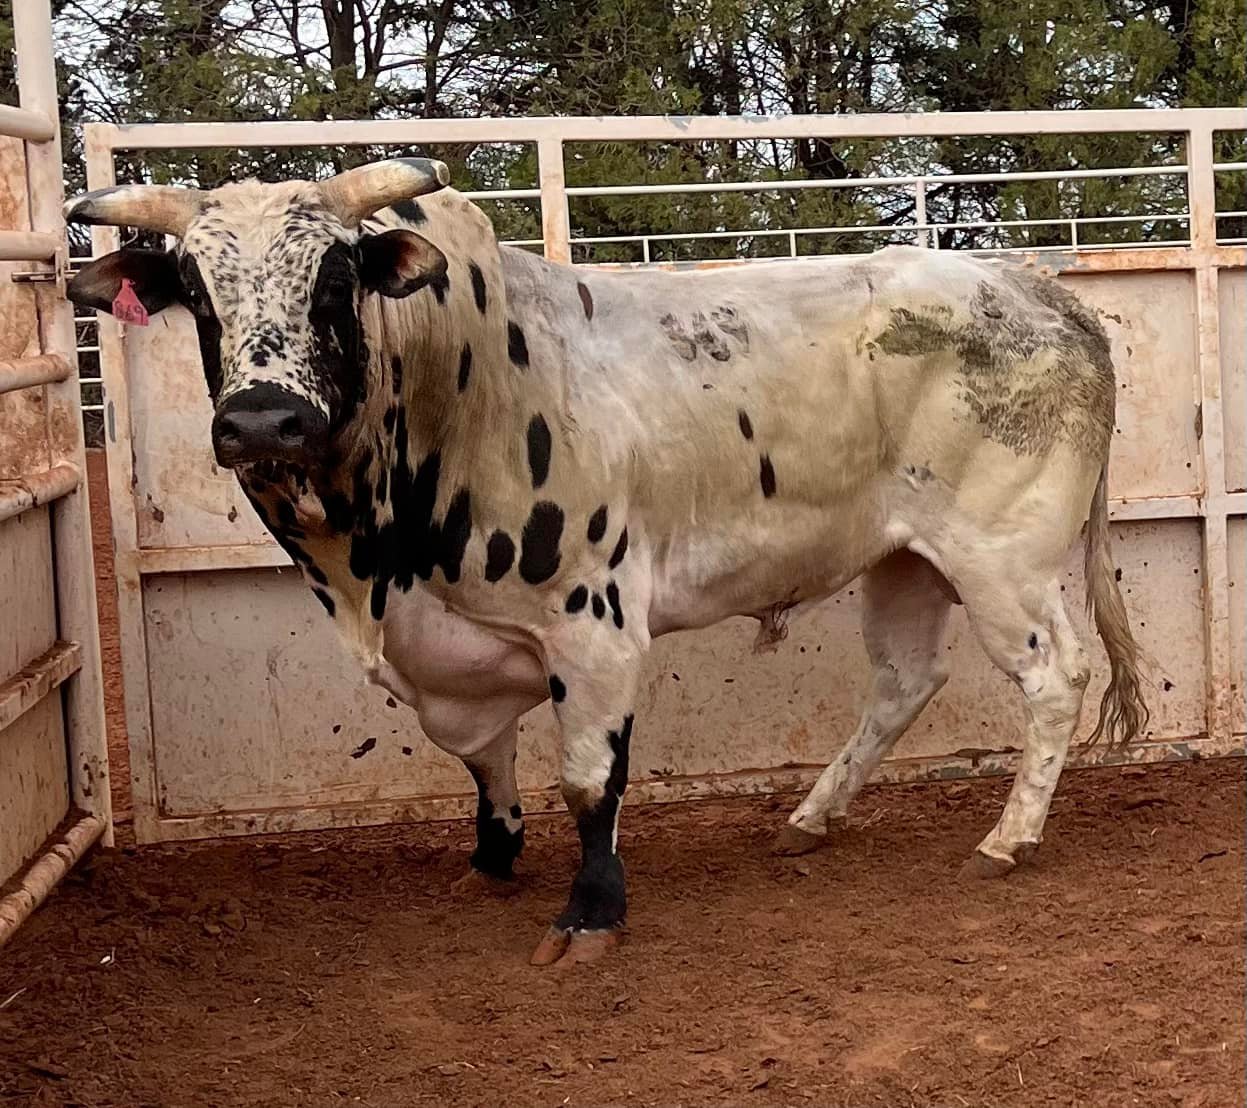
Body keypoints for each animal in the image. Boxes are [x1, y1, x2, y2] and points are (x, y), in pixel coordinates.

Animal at [64, 158, 1148, 966]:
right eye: (193, 291)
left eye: (334, 279)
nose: (261, 420)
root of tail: (1033, 286)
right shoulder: (454, 646)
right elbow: (482, 755)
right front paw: (492, 855)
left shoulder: (591, 624)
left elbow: (589, 779)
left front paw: (590, 911)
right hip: (905, 560)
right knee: (903, 681)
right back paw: (810, 815)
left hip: (1000, 557)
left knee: (1055, 678)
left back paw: (1006, 838)